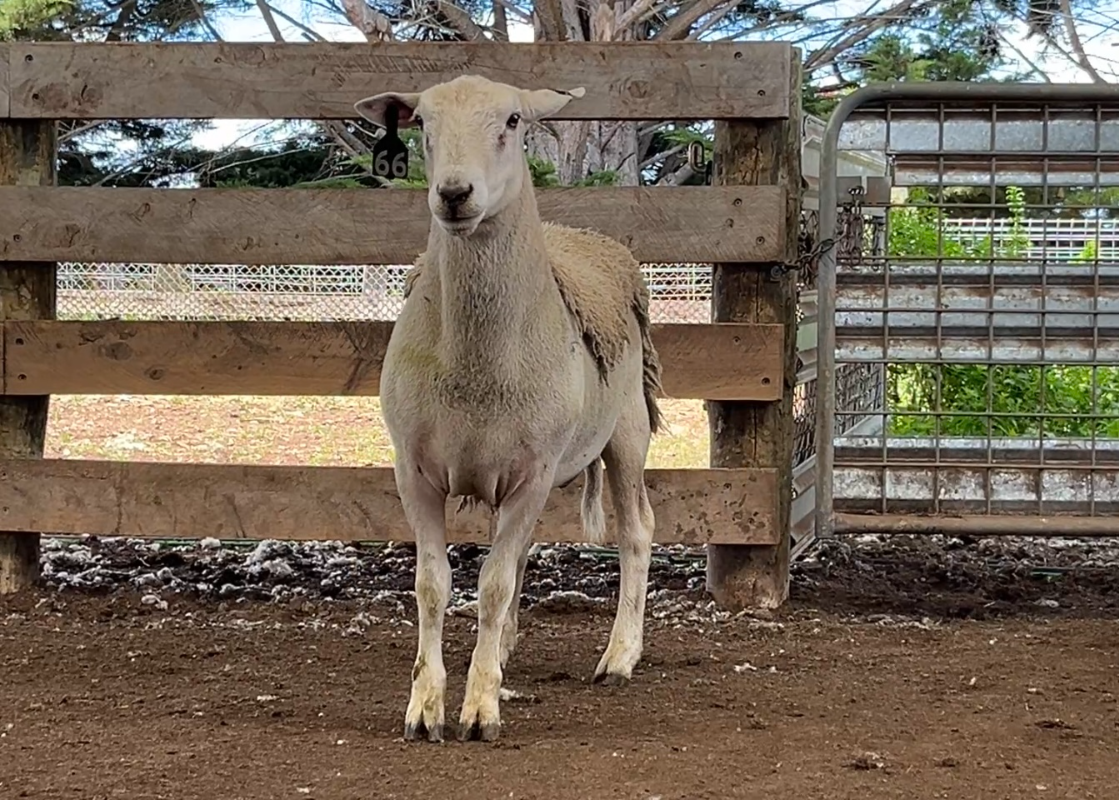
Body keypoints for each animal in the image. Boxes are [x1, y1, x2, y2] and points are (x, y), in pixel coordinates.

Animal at [355, 74, 662, 743]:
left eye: (515, 120)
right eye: (422, 123)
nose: (453, 194)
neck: (477, 361)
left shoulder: (535, 471)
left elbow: (492, 585)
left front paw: (480, 710)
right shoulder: (414, 468)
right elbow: (433, 585)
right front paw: (425, 707)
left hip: (626, 428)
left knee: (636, 531)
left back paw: (620, 656)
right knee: (519, 551)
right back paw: (504, 650)